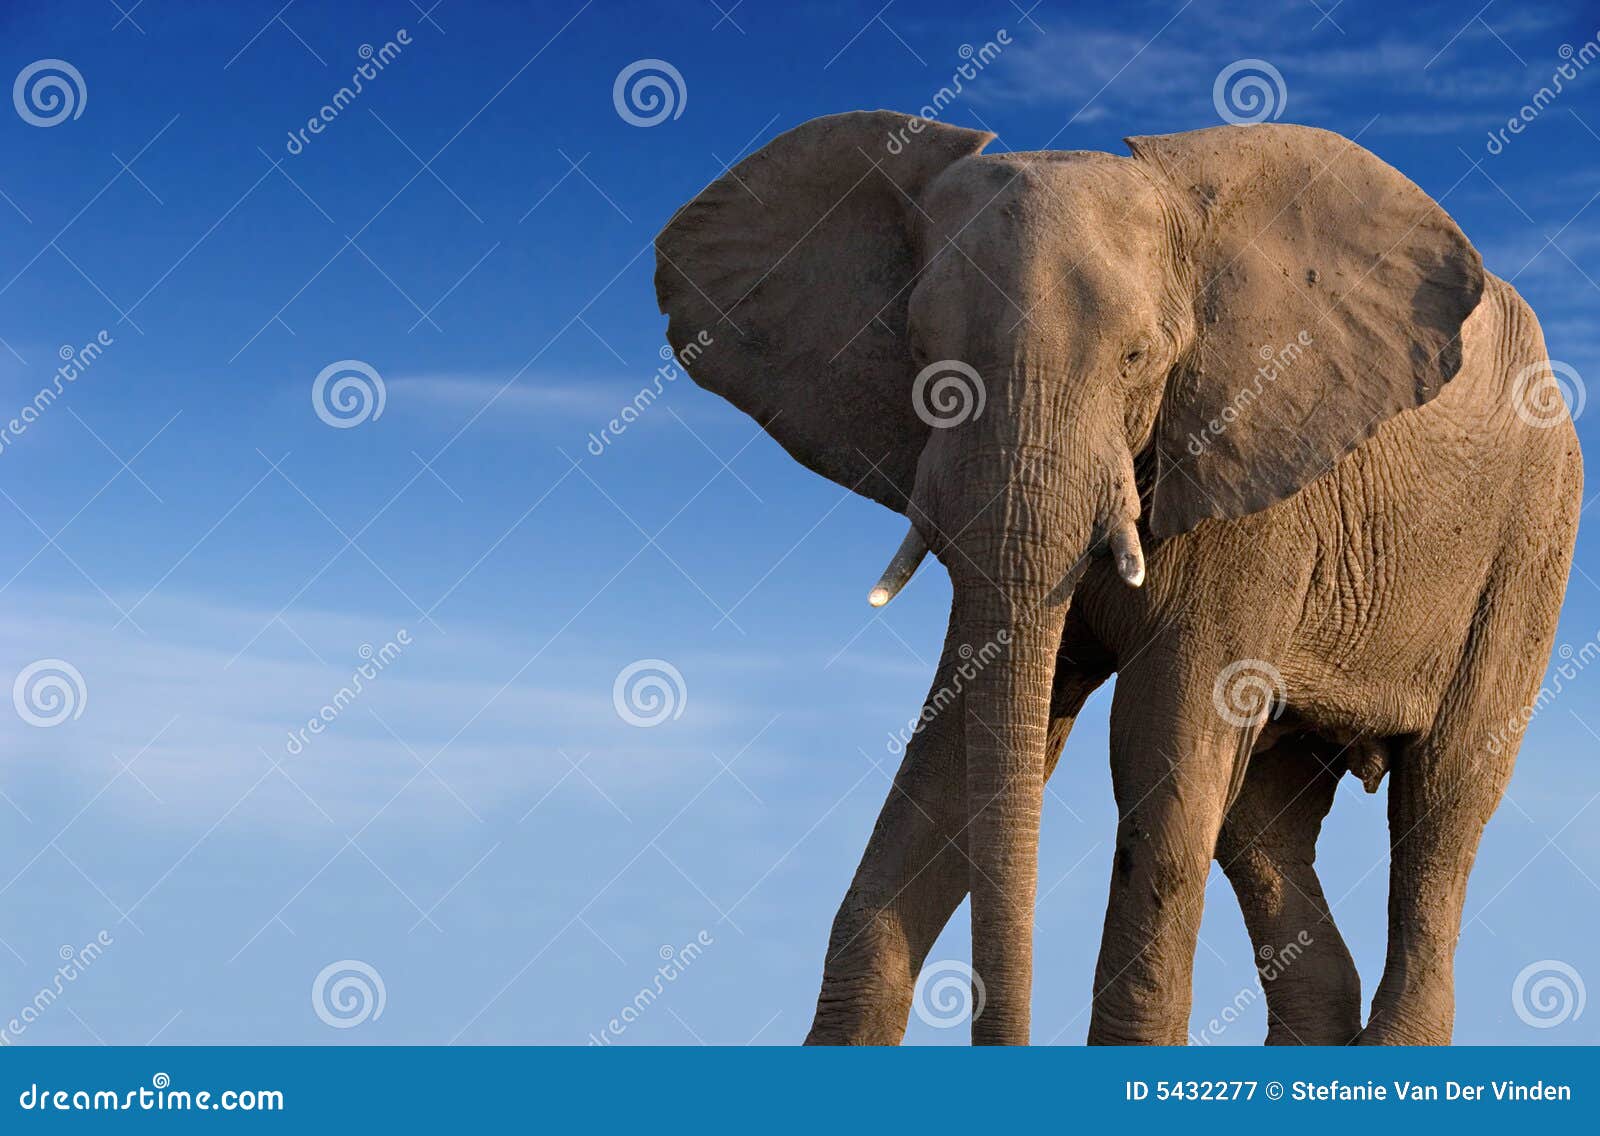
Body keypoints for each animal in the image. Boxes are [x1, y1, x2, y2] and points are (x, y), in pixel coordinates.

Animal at [653, 111, 1580, 1045]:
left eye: (1138, 358)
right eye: (920, 357)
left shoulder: (1250, 481)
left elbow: (1160, 745)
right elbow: (954, 751)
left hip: (1533, 538)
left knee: (1443, 801)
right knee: (1262, 821)